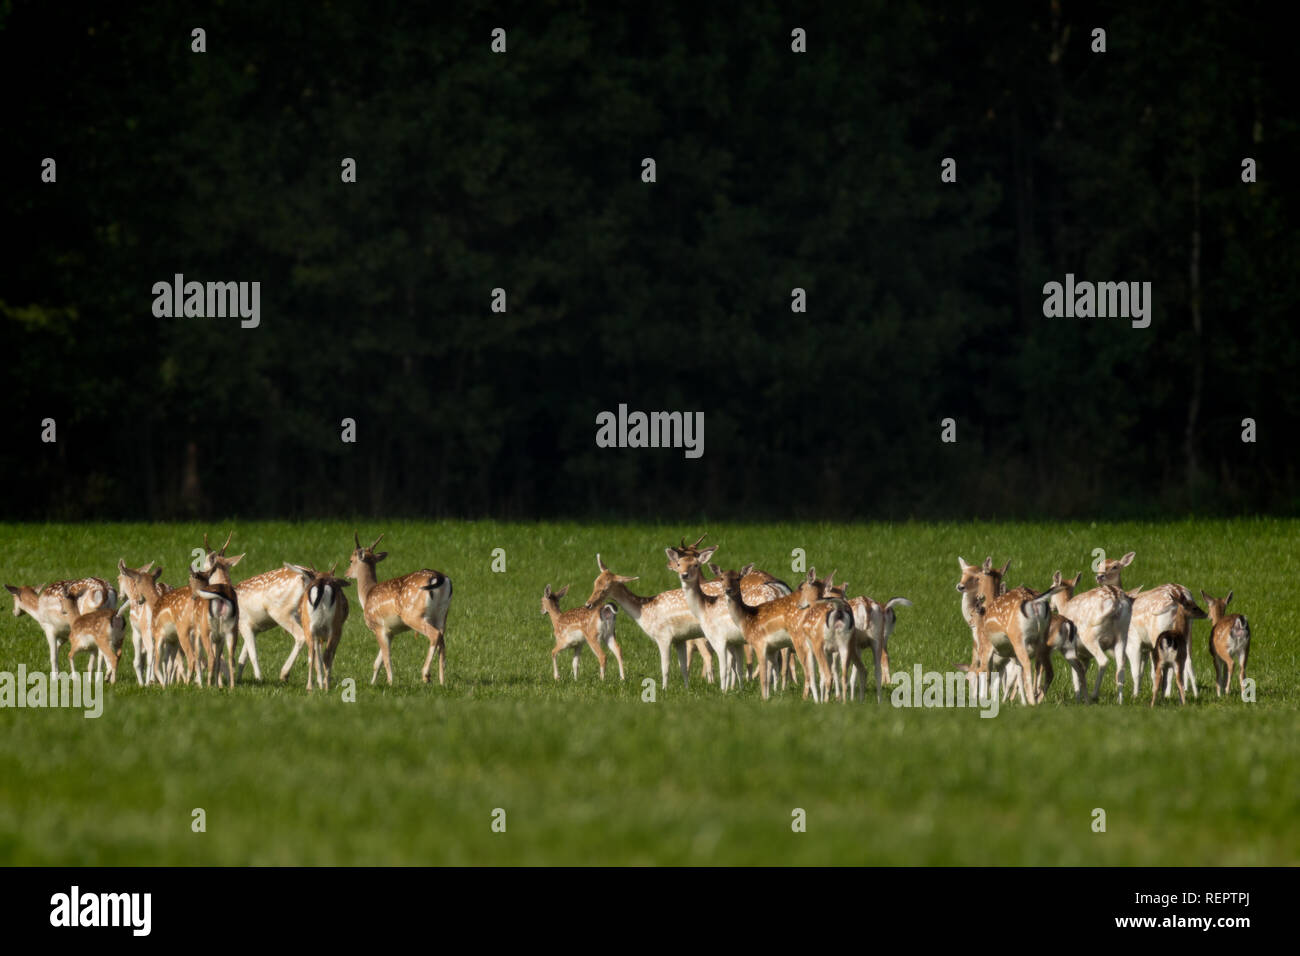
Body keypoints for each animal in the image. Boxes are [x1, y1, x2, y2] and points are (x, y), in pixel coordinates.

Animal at [346, 532, 453, 685]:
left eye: (350, 560)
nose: (346, 573)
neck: (366, 596)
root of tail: (440, 578)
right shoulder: (390, 632)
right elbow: (376, 663)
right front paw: (372, 683)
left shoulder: (378, 627)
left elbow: (386, 659)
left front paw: (390, 683)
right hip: (442, 614)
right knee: (442, 638)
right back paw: (442, 681)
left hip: (413, 615)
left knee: (435, 635)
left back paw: (425, 675)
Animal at [1049, 552, 1142, 702]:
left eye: (1051, 588)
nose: (1051, 606)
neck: (1064, 606)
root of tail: (1116, 602)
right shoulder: (1084, 655)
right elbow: (1081, 673)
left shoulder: (1073, 648)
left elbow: (1075, 675)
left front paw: (1078, 698)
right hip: (1122, 635)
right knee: (1121, 666)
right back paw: (1120, 701)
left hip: (1090, 635)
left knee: (1103, 661)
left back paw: (1094, 695)